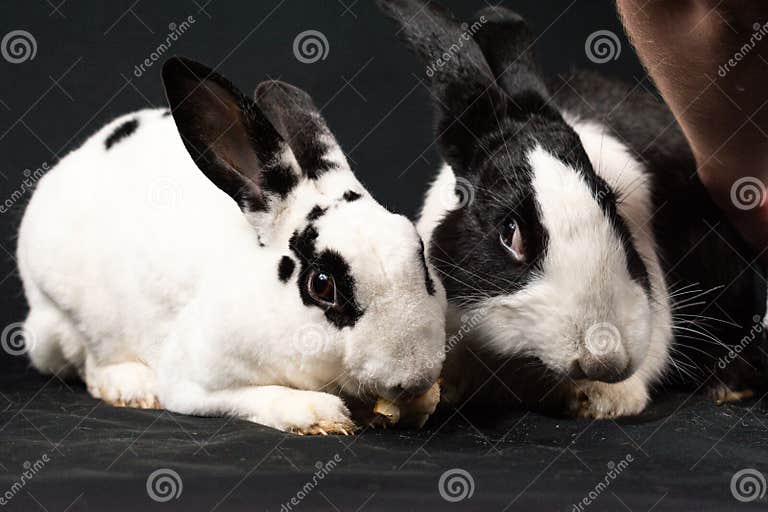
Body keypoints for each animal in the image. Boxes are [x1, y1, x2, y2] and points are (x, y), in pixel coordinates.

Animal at [16, 56, 447, 435]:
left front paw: (420, 404)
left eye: (420, 253)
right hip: (71, 319)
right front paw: (318, 414)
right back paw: (132, 386)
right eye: (322, 285)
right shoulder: (194, 384)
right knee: (91, 361)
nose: (414, 377)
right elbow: (256, 396)